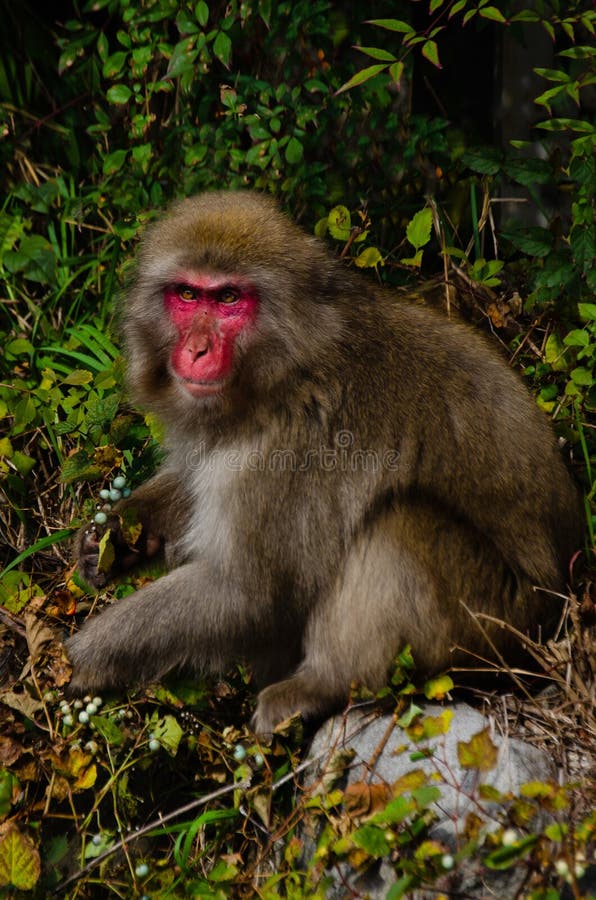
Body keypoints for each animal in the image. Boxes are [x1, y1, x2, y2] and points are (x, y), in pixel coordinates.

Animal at [66, 190, 583, 735]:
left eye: (229, 300)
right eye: (187, 295)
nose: (197, 350)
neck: (283, 370)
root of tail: (559, 609)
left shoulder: (292, 448)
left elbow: (249, 596)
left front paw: (86, 655)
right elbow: (192, 480)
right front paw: (118, 532)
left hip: (494, 625)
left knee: (401, 524)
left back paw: (320, 686)